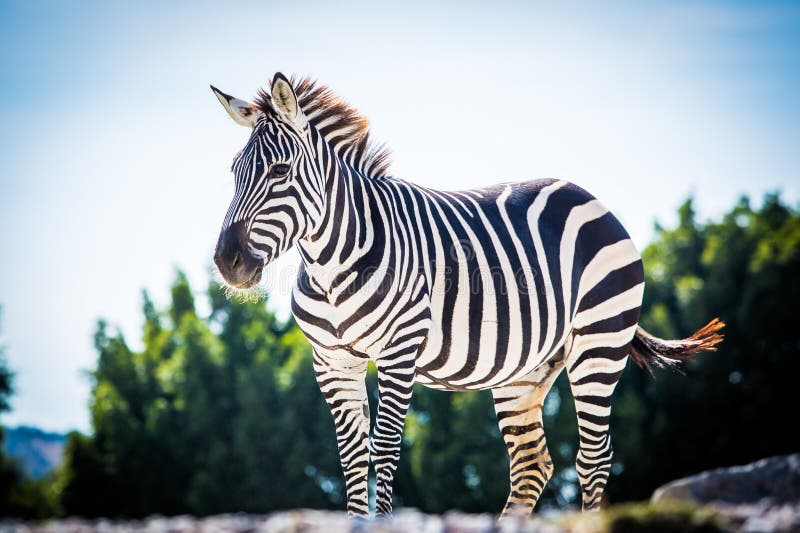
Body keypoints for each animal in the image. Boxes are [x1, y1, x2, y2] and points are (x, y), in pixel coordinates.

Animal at [210, 73, 724, 518]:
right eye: (233, 171)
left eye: (280, 171)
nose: (227, 261)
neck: (331, 268)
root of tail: (586, 194)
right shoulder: (332, 362)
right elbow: (353, 458)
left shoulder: (399, 351)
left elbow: (387, 449)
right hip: (527, 368)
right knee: (532, 465)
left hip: (599, 341)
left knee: (594, 456)